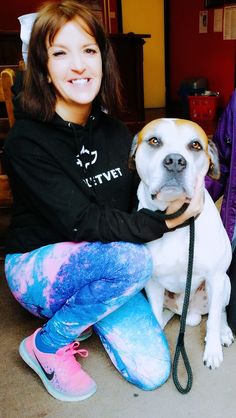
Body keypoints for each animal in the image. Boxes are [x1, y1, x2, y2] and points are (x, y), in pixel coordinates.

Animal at [131, 117, 234, 370]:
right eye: (154, 141)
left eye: (195, 145)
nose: (175, 161)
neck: (177, 223)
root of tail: (189, 312)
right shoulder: (153, 284)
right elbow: (154, 313)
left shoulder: (215, 277)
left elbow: (214, 319)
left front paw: (213, 351)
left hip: (224, 283)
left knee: (219, 311)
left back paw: (224, 332)